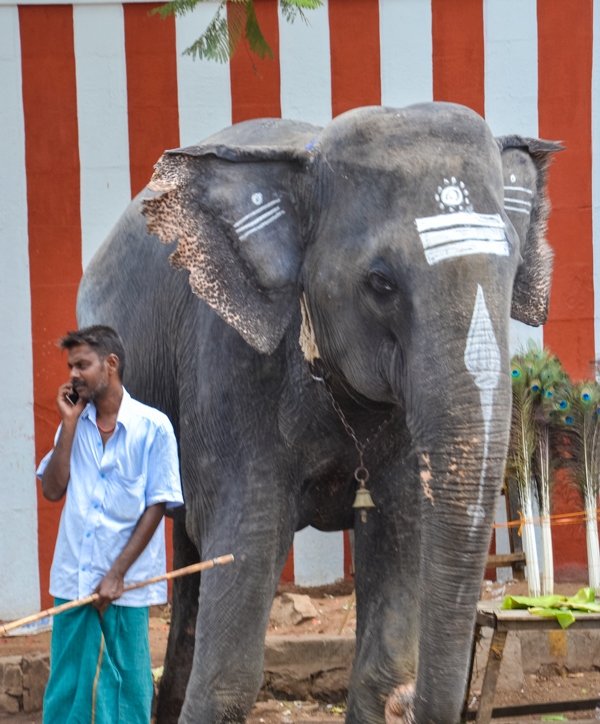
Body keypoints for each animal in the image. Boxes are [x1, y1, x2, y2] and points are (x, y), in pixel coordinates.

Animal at [77, 102, 560, 724]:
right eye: (380, 283)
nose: (415, 705)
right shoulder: (227, 363)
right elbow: (246, 545)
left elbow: (401, 538)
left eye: (511, 272)